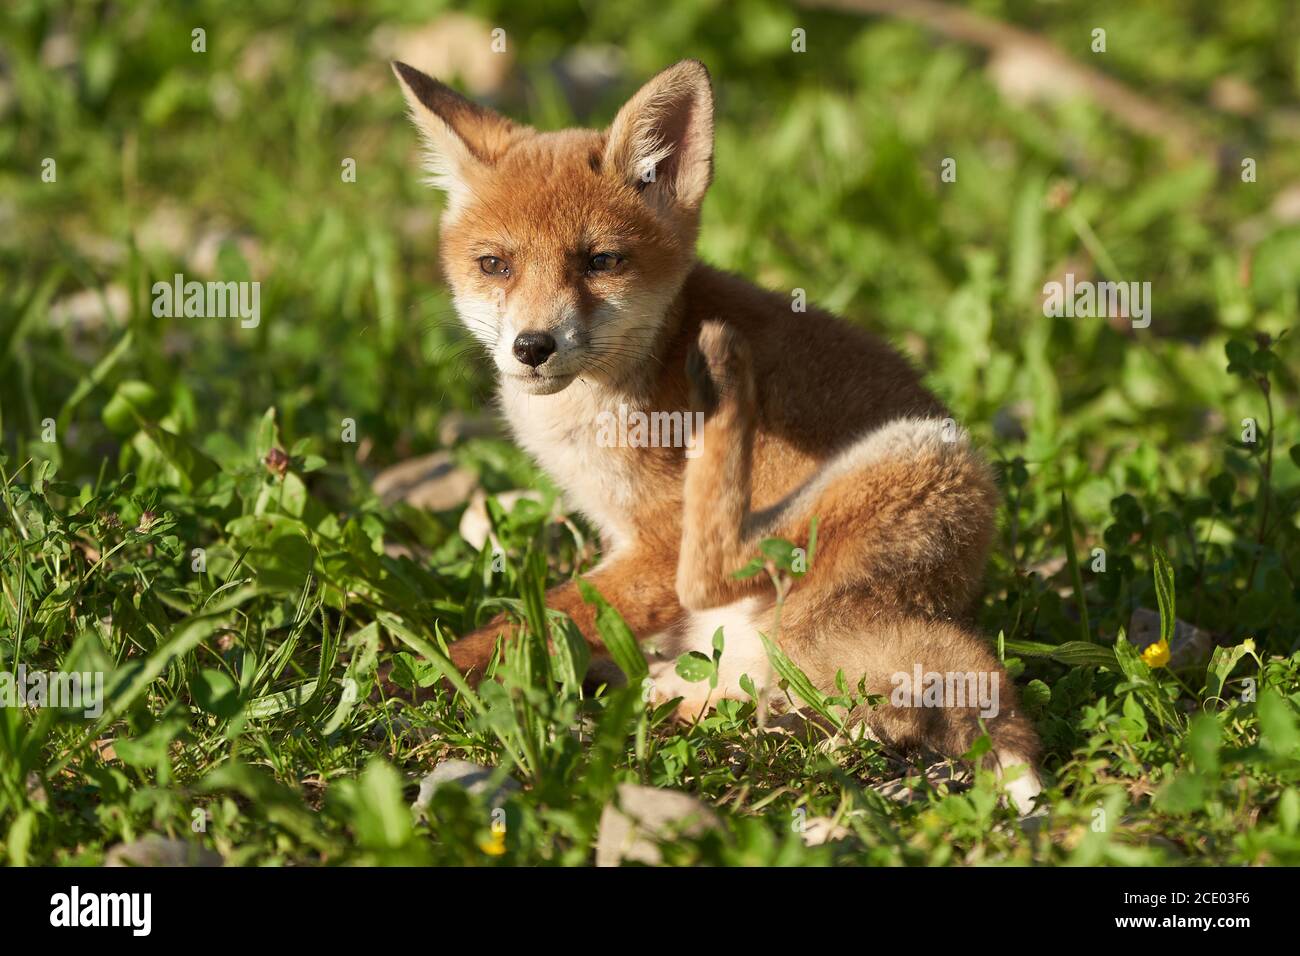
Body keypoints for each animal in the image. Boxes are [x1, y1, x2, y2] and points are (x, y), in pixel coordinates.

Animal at [392, 58, 1043, 811]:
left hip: (905, 464)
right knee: (752, 688)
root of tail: (945, 597)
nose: (532, 346)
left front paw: (424, 667)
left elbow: (535, 623)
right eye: (495, 264)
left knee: (715, 577)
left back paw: (728, 389)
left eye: (600, 261)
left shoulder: (654, 546)